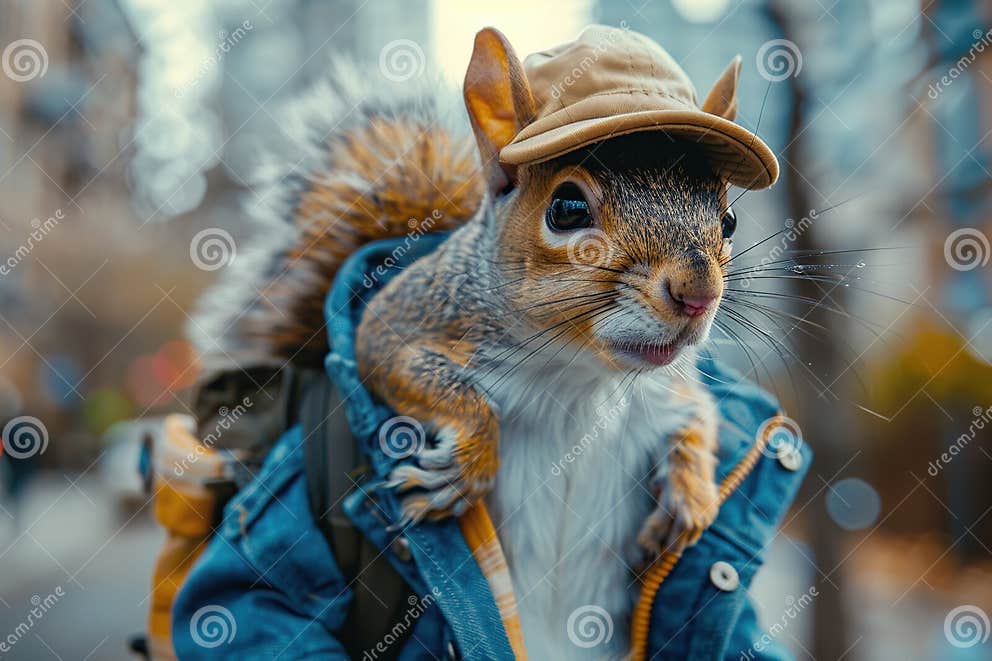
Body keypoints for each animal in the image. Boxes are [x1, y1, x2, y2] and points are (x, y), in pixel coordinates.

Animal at [192, 25, 771, 659]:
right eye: (567, 207)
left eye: (730, 220)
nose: (698, 294)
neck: (581, 375)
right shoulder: (394, 328)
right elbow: (425, 379)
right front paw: (465, 469)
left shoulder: (670, 386)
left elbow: (699, 416)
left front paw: (690, 499)